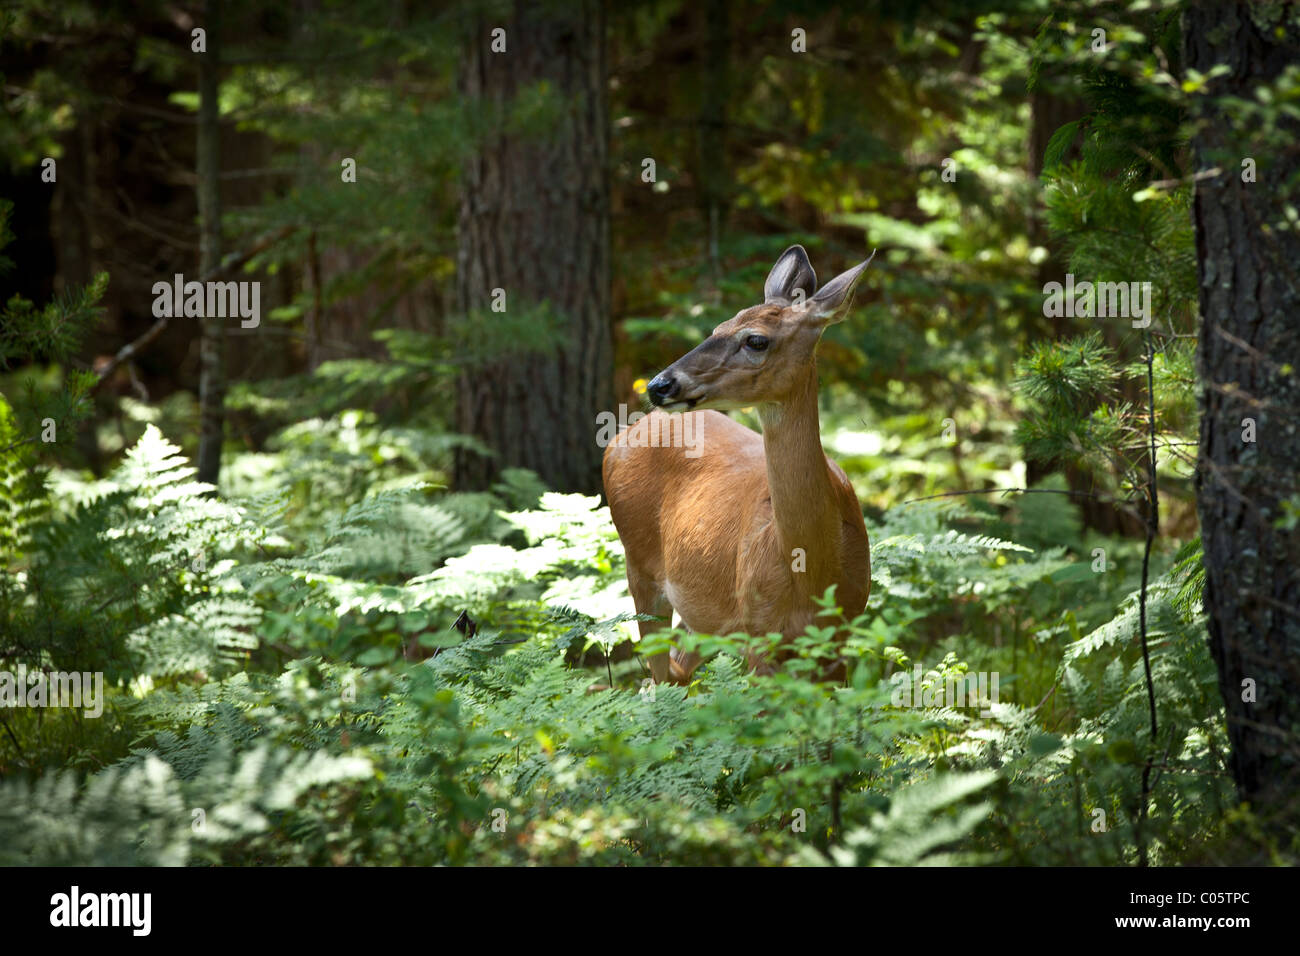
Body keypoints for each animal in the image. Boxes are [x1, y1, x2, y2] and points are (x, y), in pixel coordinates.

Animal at [602, 244, 875, 684]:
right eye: (717, 327)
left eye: (756, 340)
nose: (660, 385)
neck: (814, 571)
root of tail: (621, 435)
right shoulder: (758, 634)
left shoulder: (839, 639)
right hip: (638, 565)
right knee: (660, 675)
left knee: (677, 667)